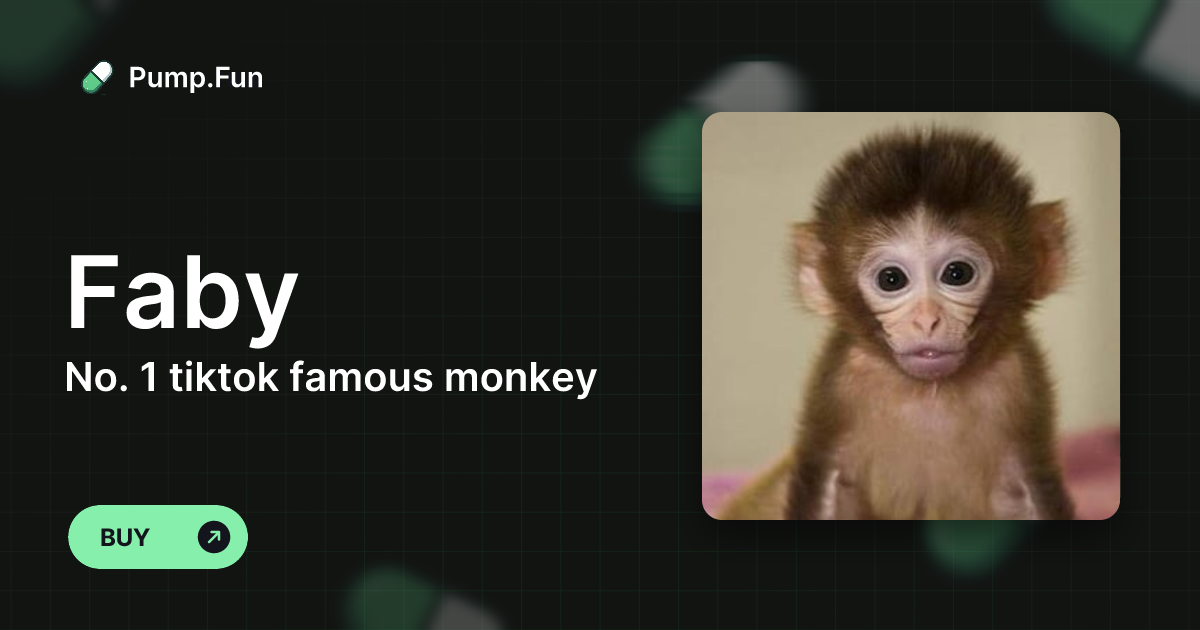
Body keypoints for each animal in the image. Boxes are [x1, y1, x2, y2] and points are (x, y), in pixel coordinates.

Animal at [723, 127, 1075, 520]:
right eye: (891, 279)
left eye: (957, 274)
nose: (926, 320)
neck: (927, 392)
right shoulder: (837, 386)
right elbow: (831, 486)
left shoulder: (1020, 382)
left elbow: (1026, 491)